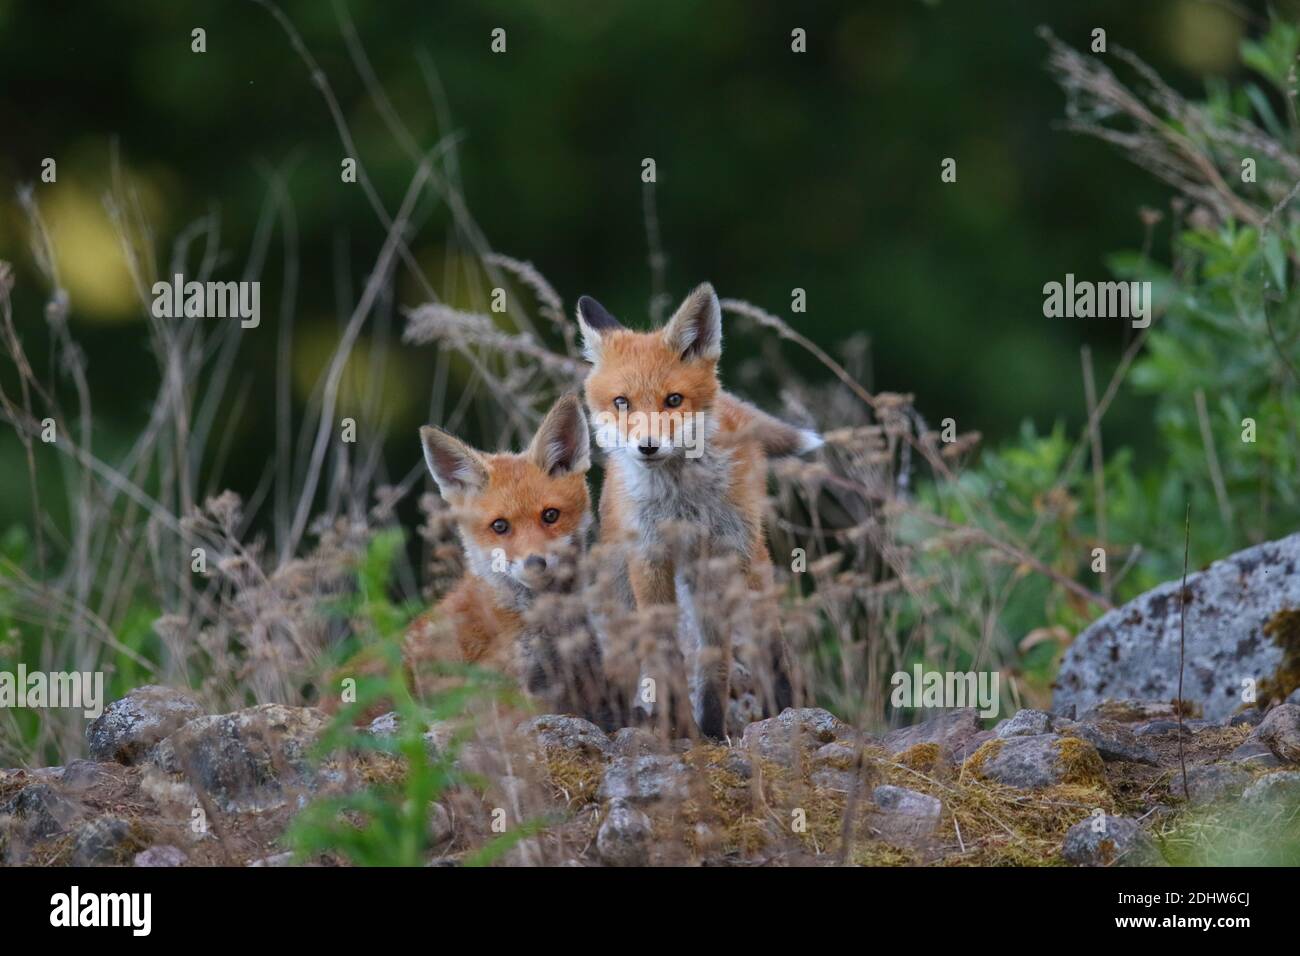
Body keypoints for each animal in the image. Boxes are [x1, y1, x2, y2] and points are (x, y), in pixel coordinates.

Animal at [576, 282, 821, 738]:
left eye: (674, 400)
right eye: (622, 402)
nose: (647, 446)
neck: (681, 502)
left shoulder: (739, 553)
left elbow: (757, 647)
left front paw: (781, 714)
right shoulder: (649, 559)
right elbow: (666, 653)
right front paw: (680, 727)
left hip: (721, 572)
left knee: (729, 651)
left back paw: (726, 721)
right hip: (627, 580)